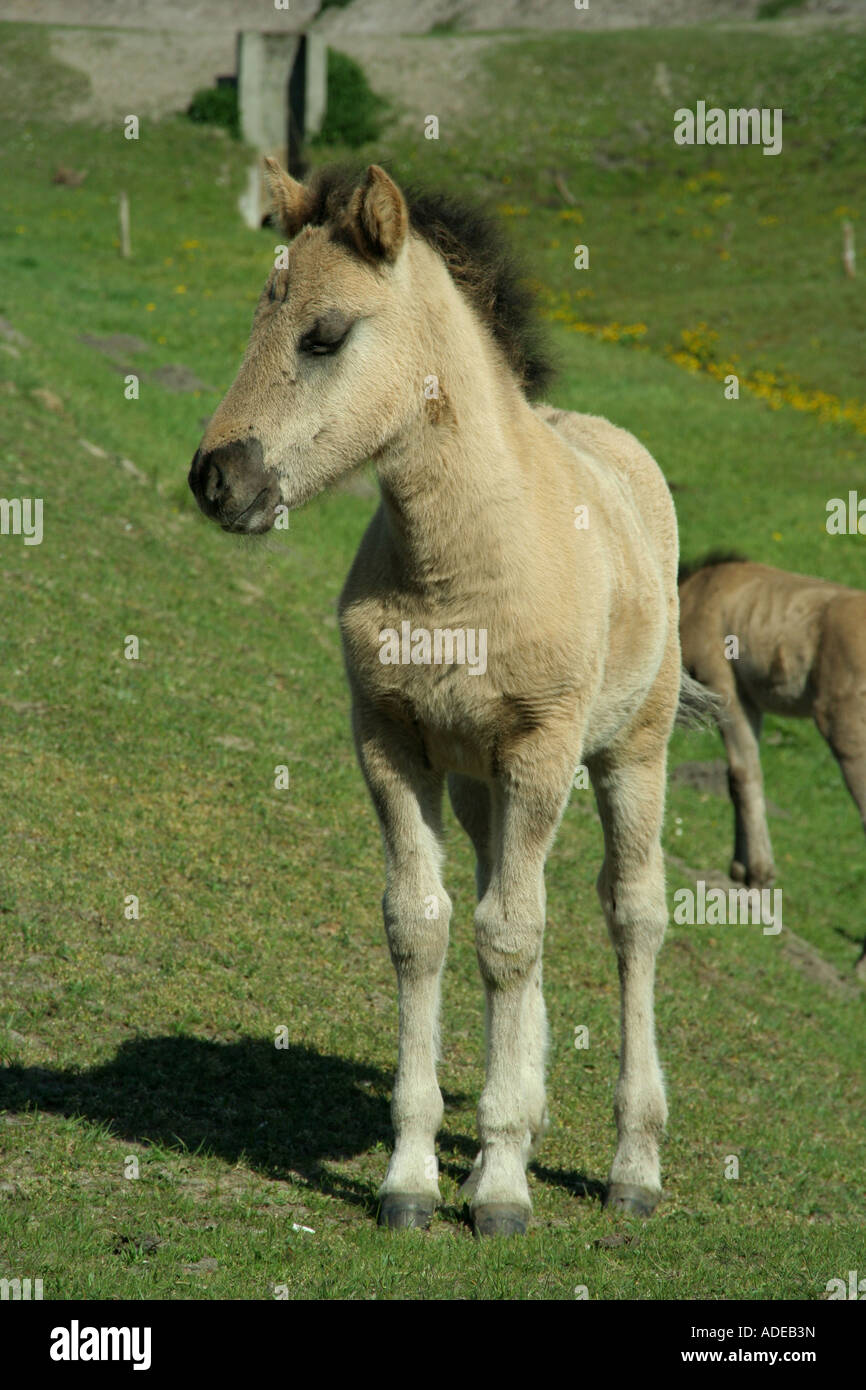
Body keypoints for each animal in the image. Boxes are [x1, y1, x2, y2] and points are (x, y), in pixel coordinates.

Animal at [188, 159, 688, 1236]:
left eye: (324, 333)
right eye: (257, 317)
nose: (215, 478)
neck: (462, 568)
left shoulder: (542, 748)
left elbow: (509, 935)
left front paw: (498, 1188)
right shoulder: (392, 744)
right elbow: (425, 927)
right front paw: (416, 1176)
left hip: (632, 749)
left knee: (630, 915)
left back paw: (632, 1165)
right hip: (475, 785)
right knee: (512, 892)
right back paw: (527, 1116)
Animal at [679, 554, 866, 897]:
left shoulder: (724, 685)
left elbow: (743, 773)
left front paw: (759, 872)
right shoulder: (750, 700)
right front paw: (741, 867)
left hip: (844, 728)